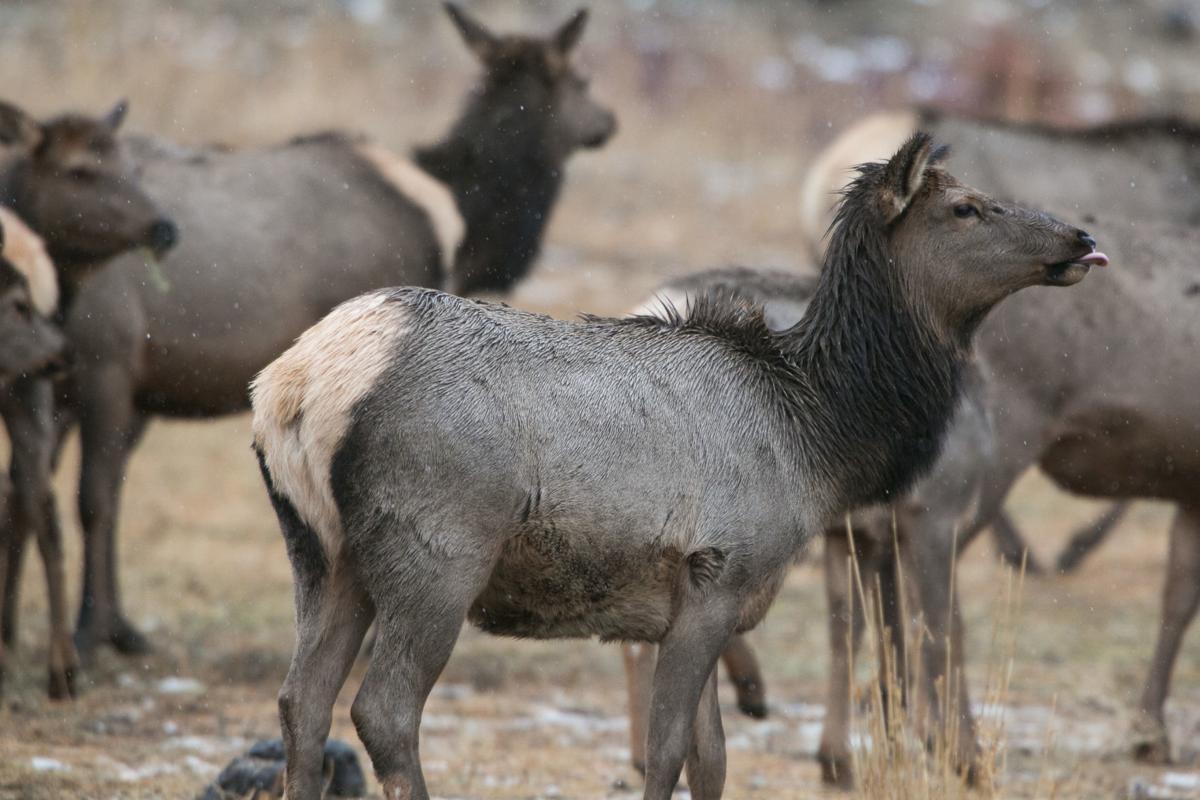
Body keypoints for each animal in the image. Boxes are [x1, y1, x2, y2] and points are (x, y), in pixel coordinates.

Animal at [250, 134, 1104, 800]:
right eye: (966, 208)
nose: (1079, 236)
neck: (821, 439)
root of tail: (298, 384)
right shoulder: (717, 573)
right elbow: (666, 755)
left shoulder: (696, 603)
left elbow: (713, 760)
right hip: (439, 549)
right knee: (384, 711)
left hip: (321, 552)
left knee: (302, 701)